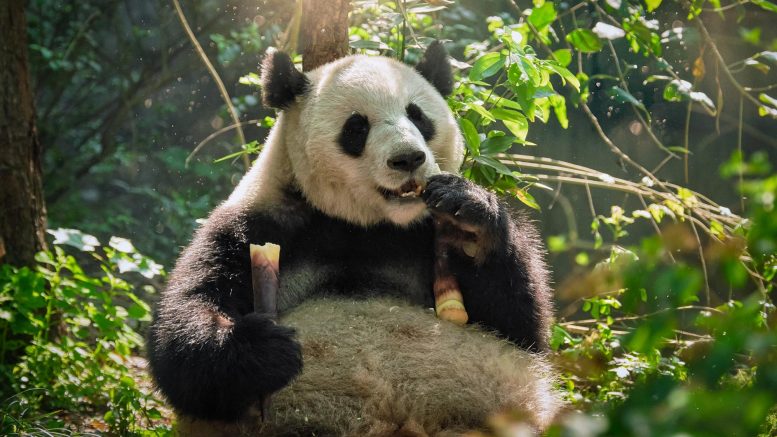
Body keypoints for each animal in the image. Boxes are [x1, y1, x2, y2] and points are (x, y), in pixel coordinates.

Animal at [147, 42, 561, 435]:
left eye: (417, 115)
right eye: (357, 127)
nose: (408, 159)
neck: (364, 223)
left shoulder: (423, 233)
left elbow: (519, 327)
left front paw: (469, 219)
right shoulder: (254, 227)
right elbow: (182, 339)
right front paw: (265, 349)